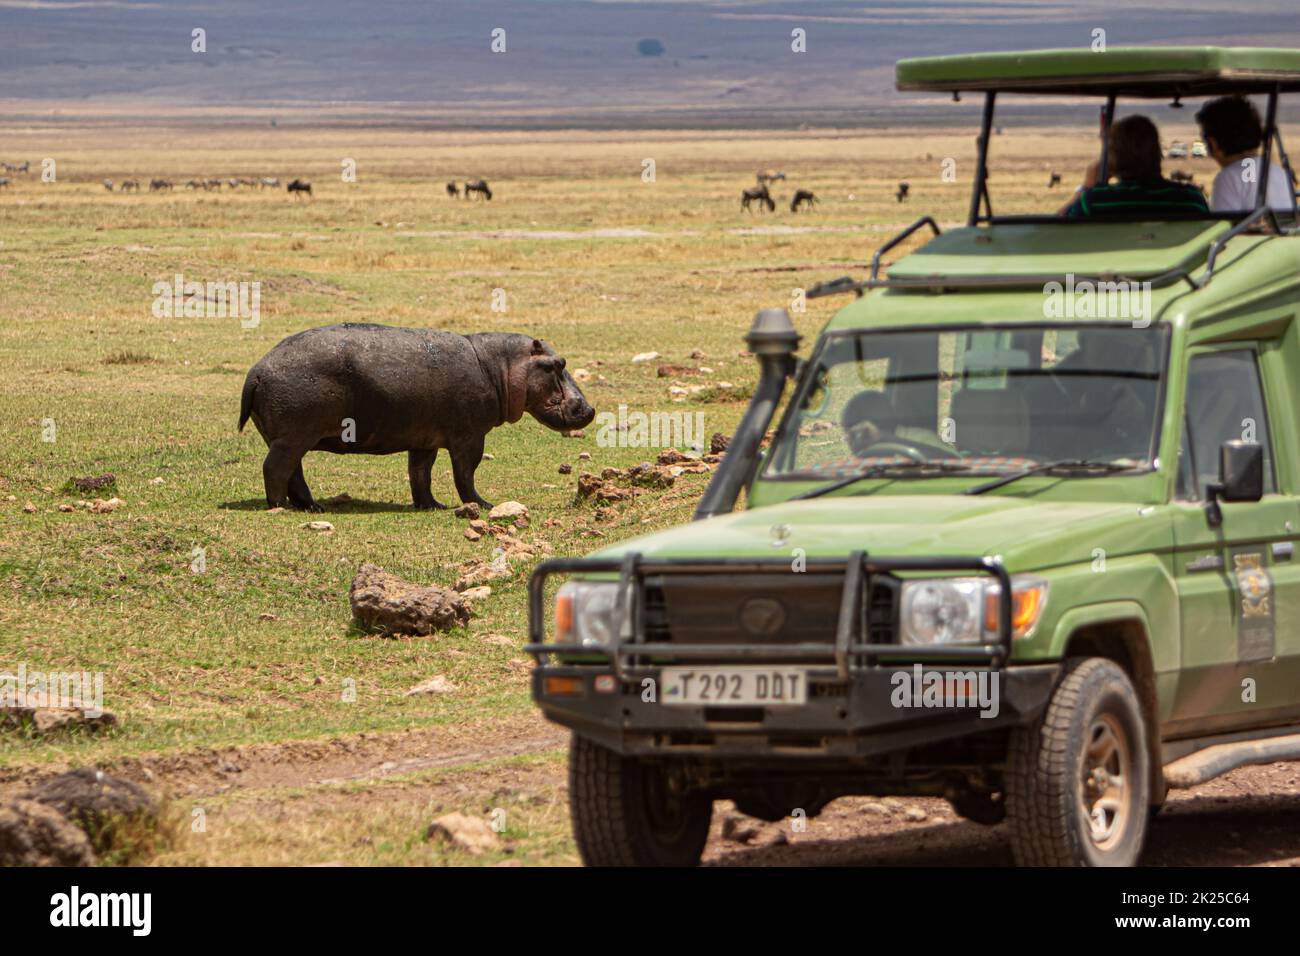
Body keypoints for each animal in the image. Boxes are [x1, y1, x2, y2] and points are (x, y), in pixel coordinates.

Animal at [239, 323, 595, 511]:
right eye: (557, 364)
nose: (589, 410)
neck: (502, 366)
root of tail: (257, 369)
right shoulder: (469, 437)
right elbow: (466, 474)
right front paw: (484, 505)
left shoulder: (425, 440)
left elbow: (420, 474)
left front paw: (431, 506)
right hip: (292, 437)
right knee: (276, 469)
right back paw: (281, 506)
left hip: (287, 437)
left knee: (293, 472)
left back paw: (311, 507)